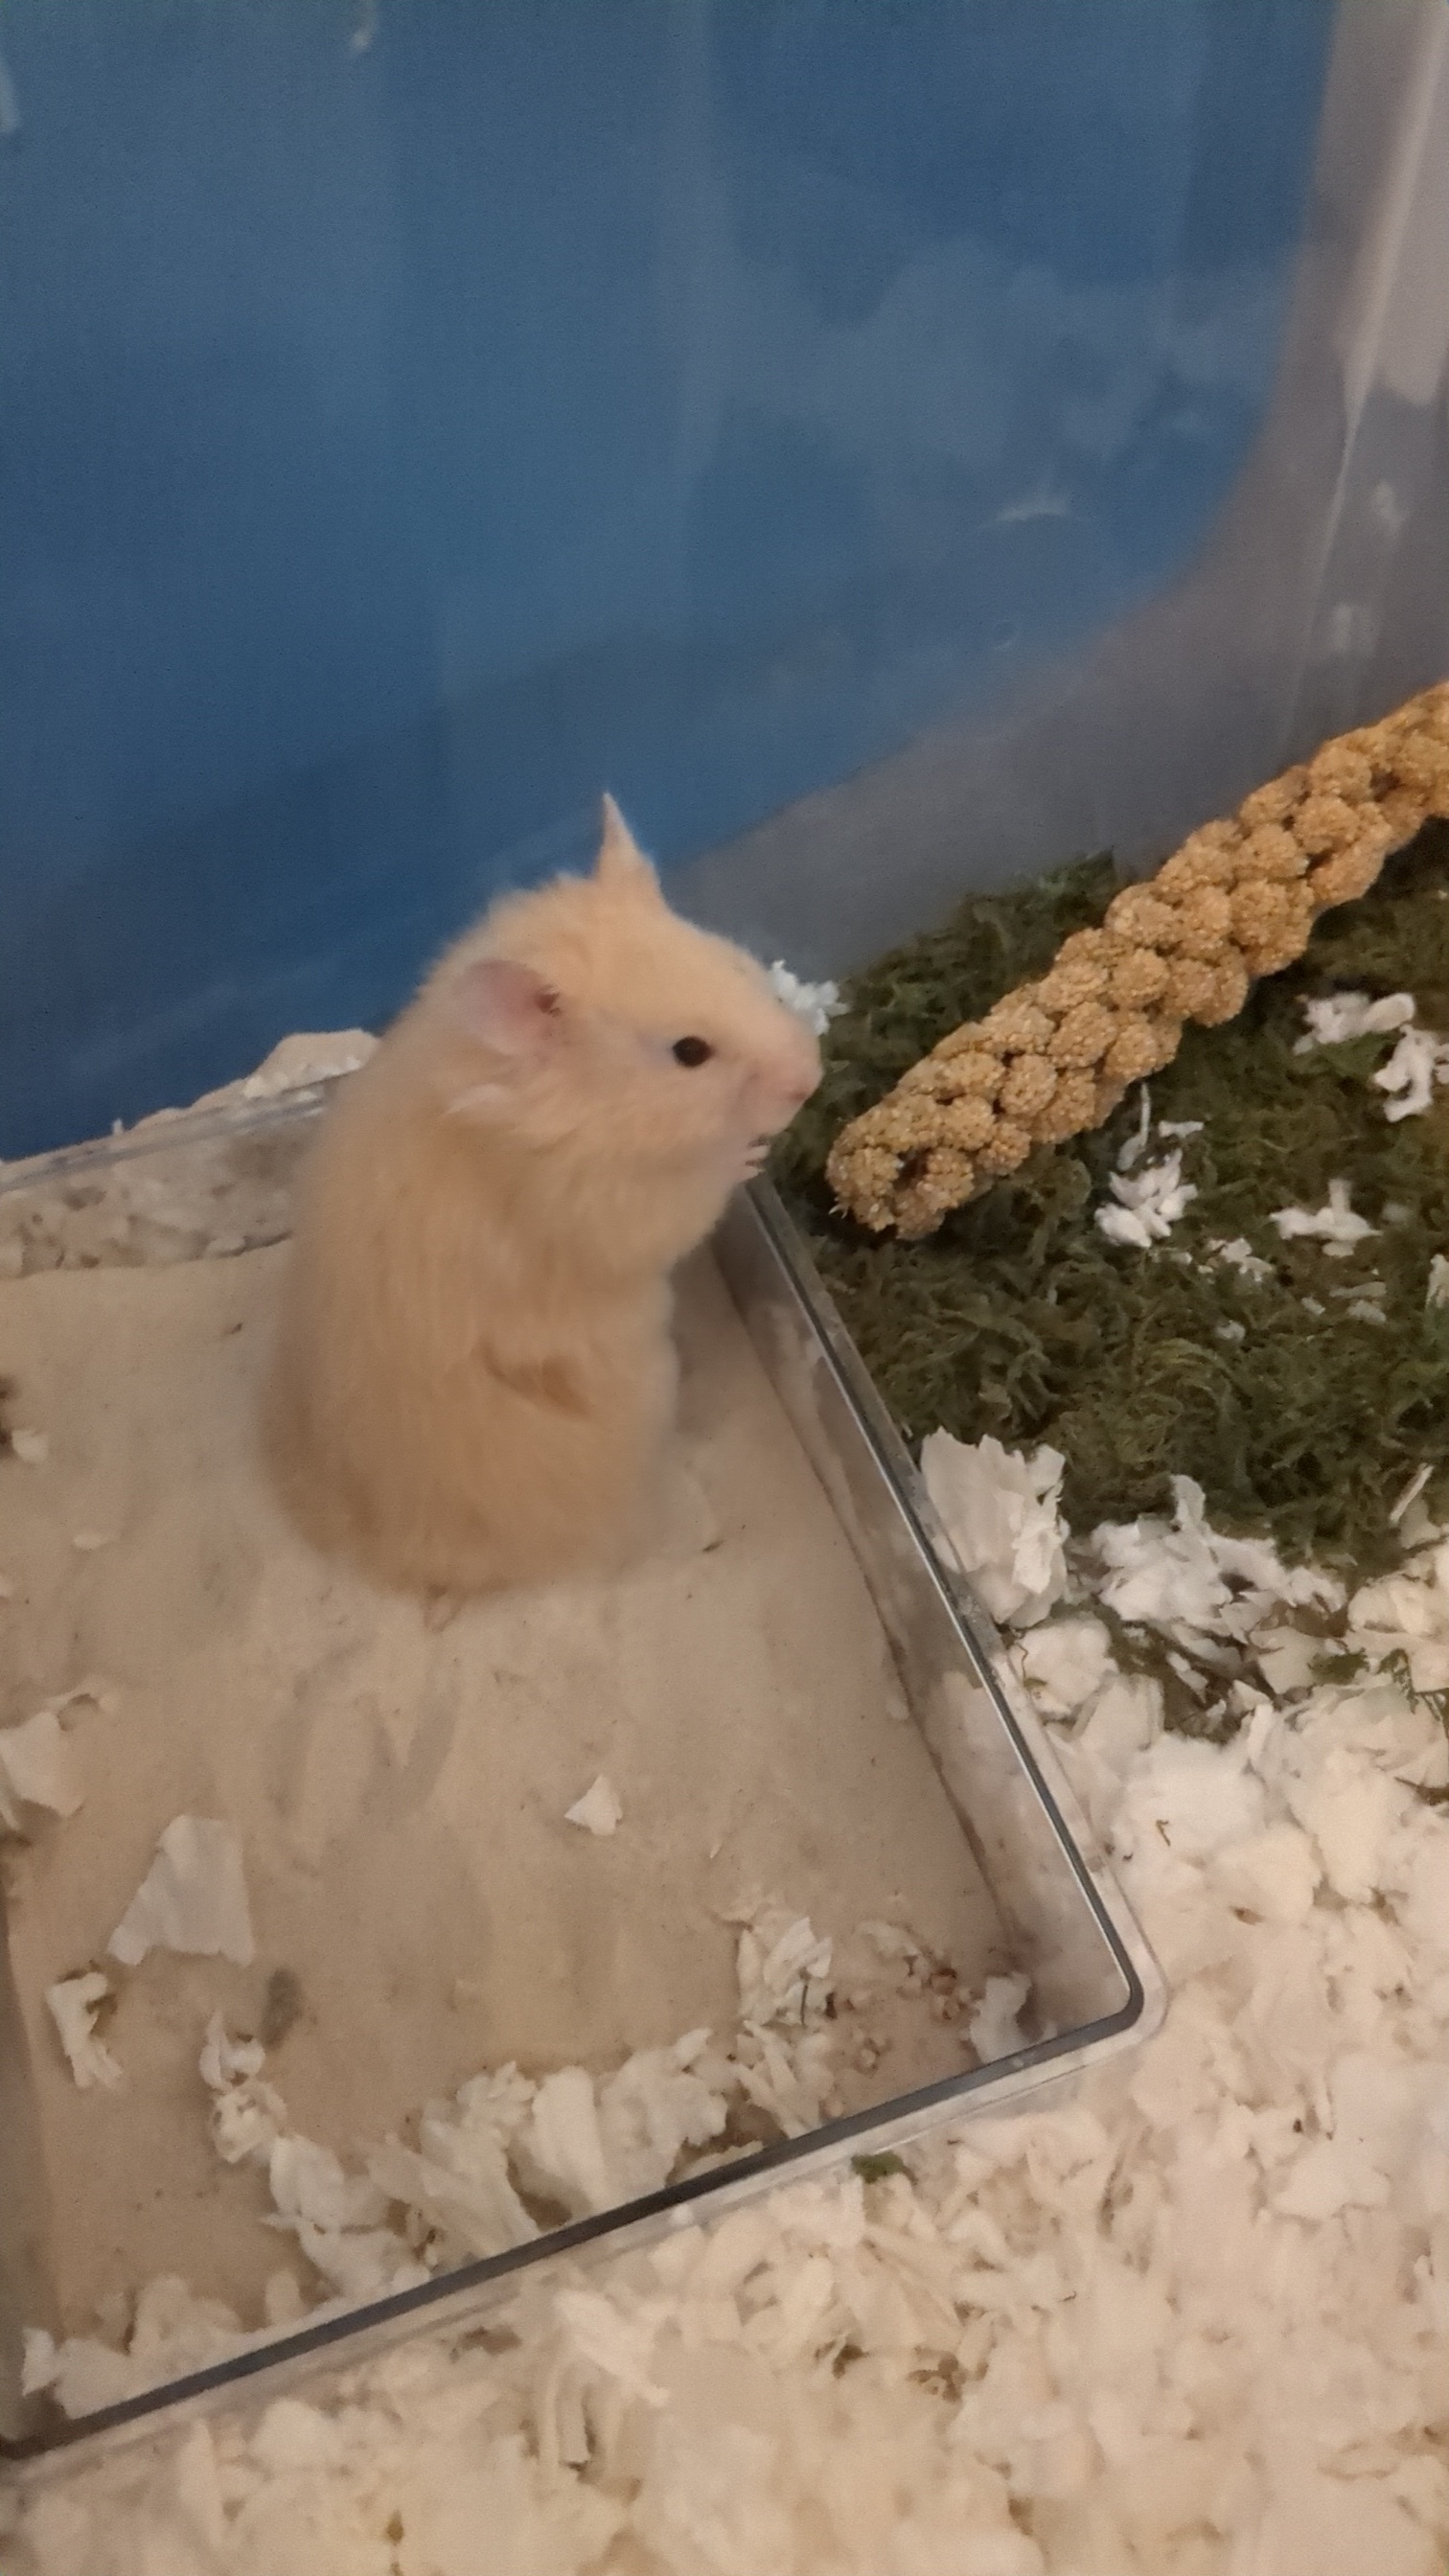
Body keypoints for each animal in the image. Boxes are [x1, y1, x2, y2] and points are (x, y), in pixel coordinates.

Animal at [262, 797, 821, 1597]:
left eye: (740, 966)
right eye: (689, 1052)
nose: (814, 1076)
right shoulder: (604, 1212)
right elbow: (690, 1200)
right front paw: (746, 1154)